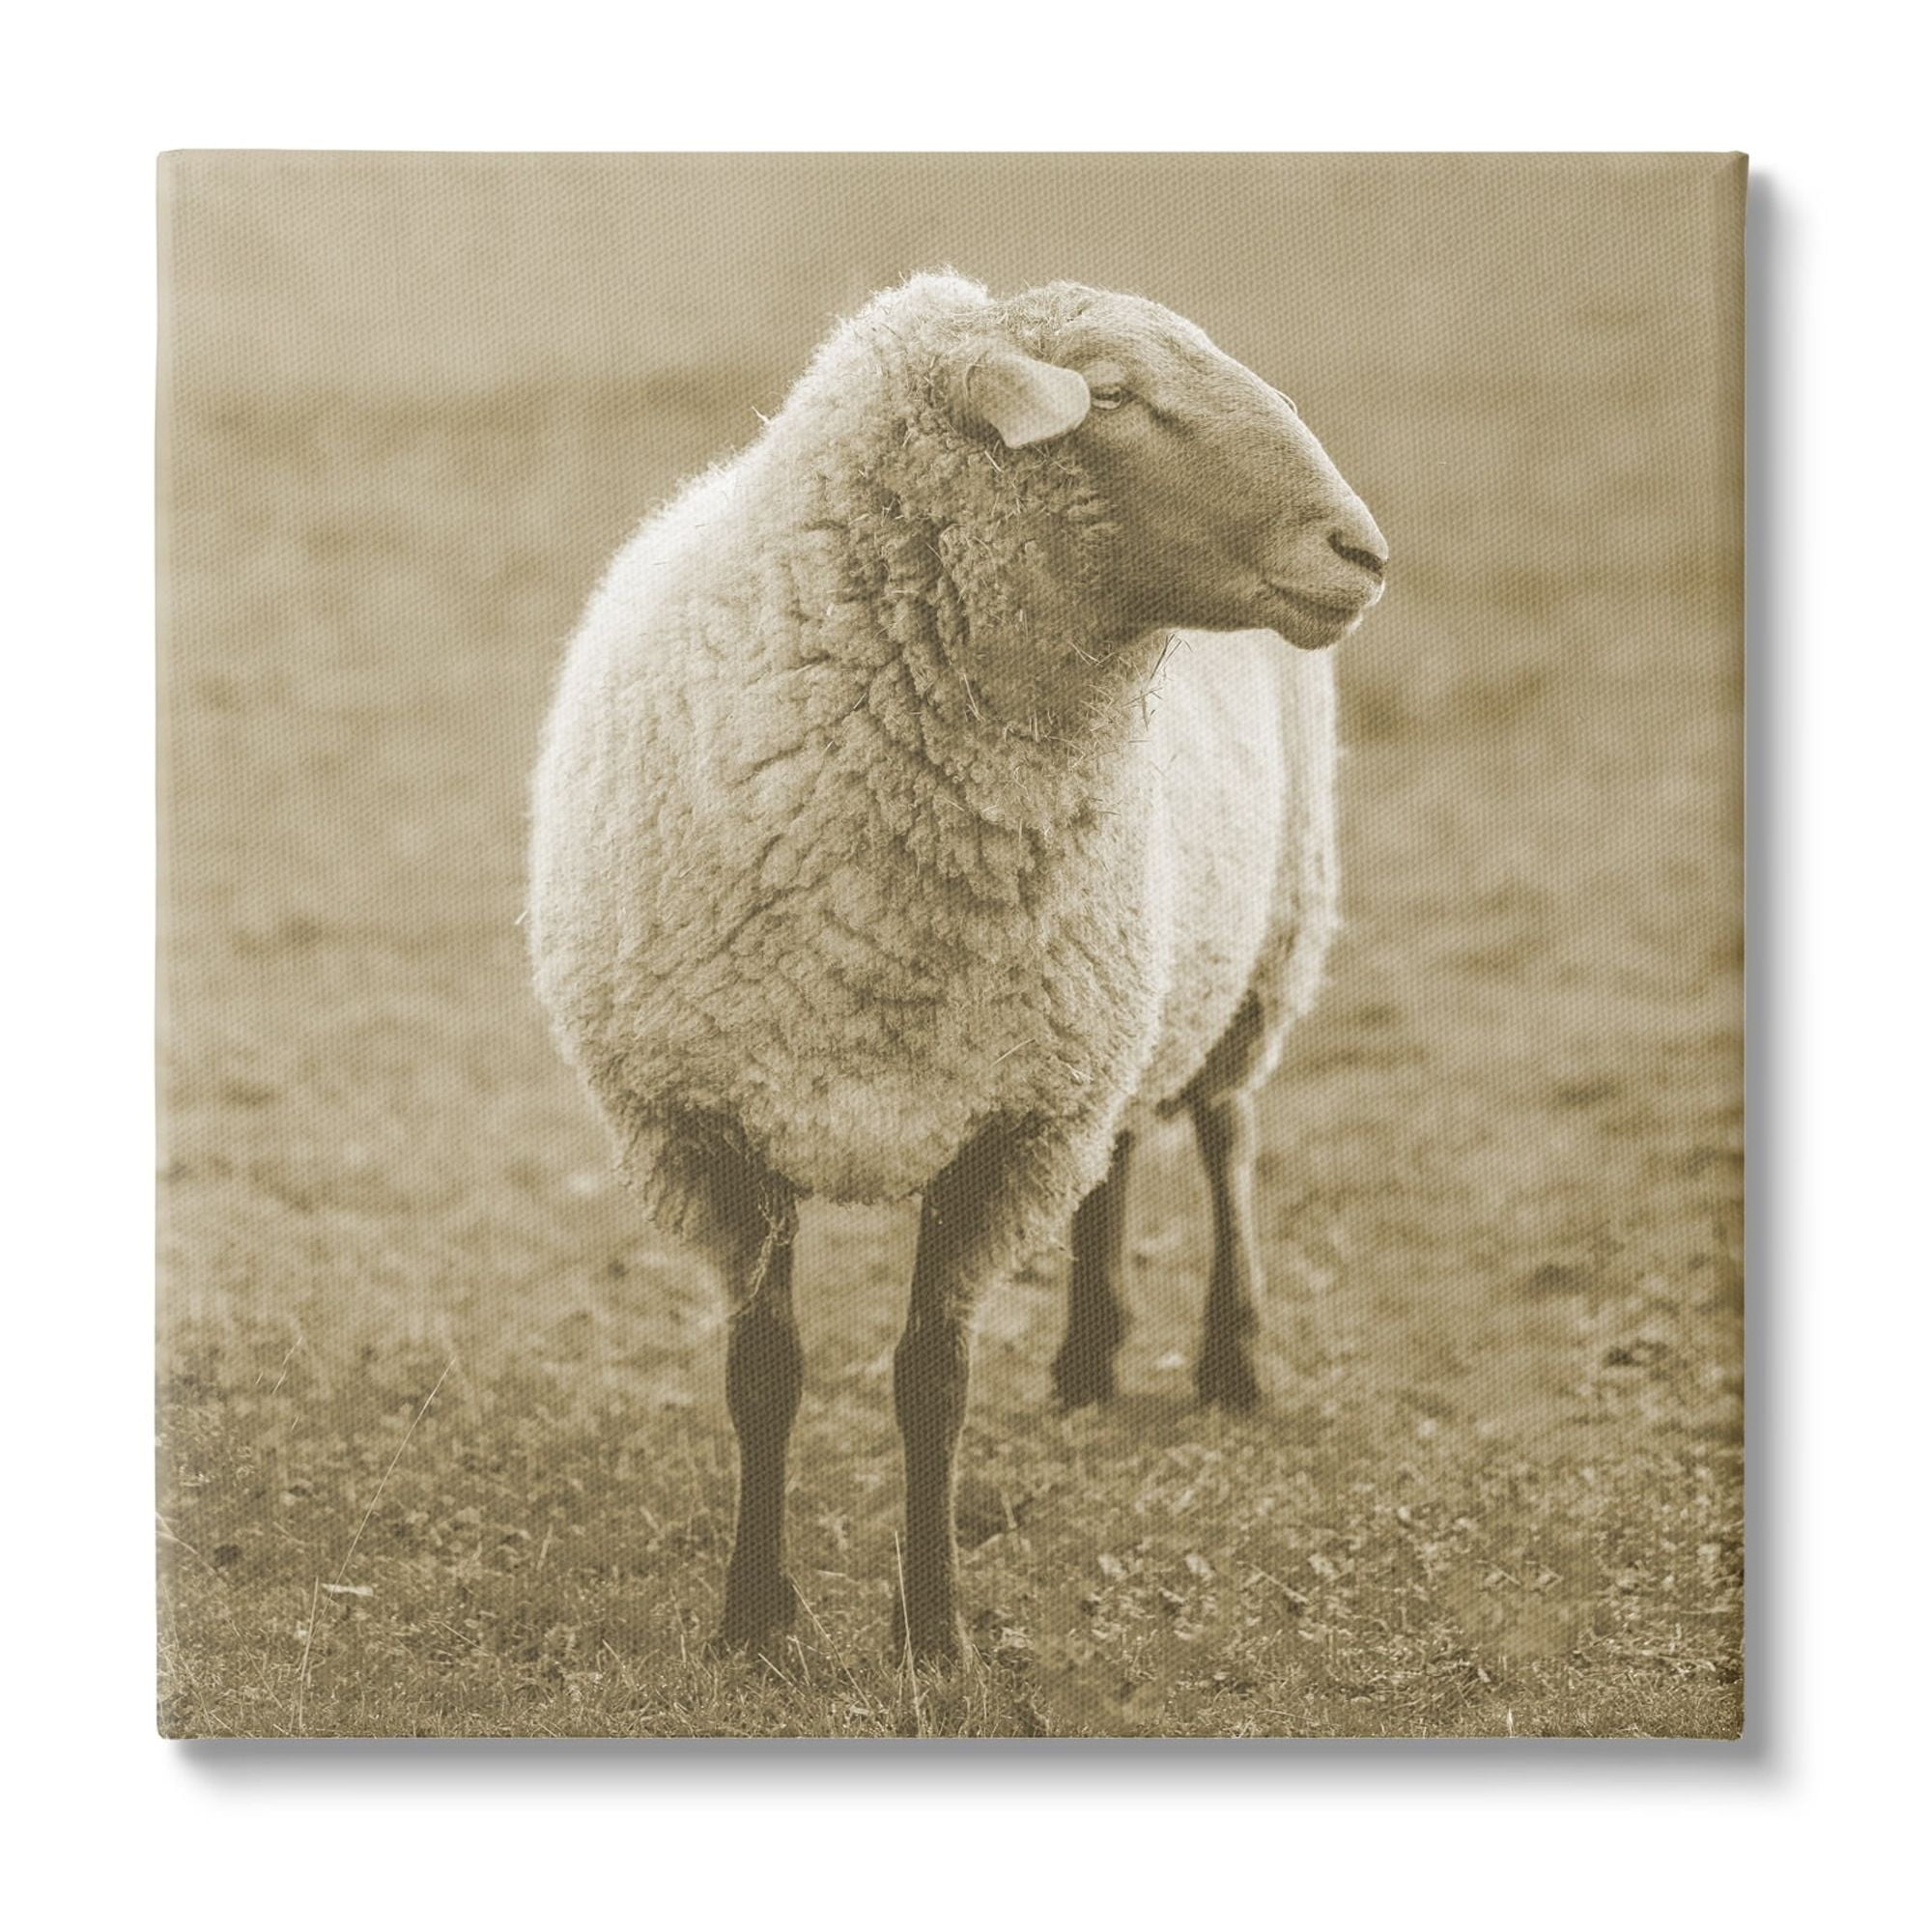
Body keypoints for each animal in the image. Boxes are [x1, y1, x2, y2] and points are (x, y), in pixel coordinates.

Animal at [528, 272, 1386, 1665]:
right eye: (1118, 395)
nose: (1361, 552)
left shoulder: (1006, 1133)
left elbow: (931, 1382)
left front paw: (933, 1629)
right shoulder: (712, 1128)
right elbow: (763, 1375)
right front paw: (753, 1620)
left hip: (1265, 938)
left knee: (1222, 1130)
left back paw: (1231, 1358)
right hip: (1117, 1000)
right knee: (1126, 1144)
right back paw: (1089, 1359)